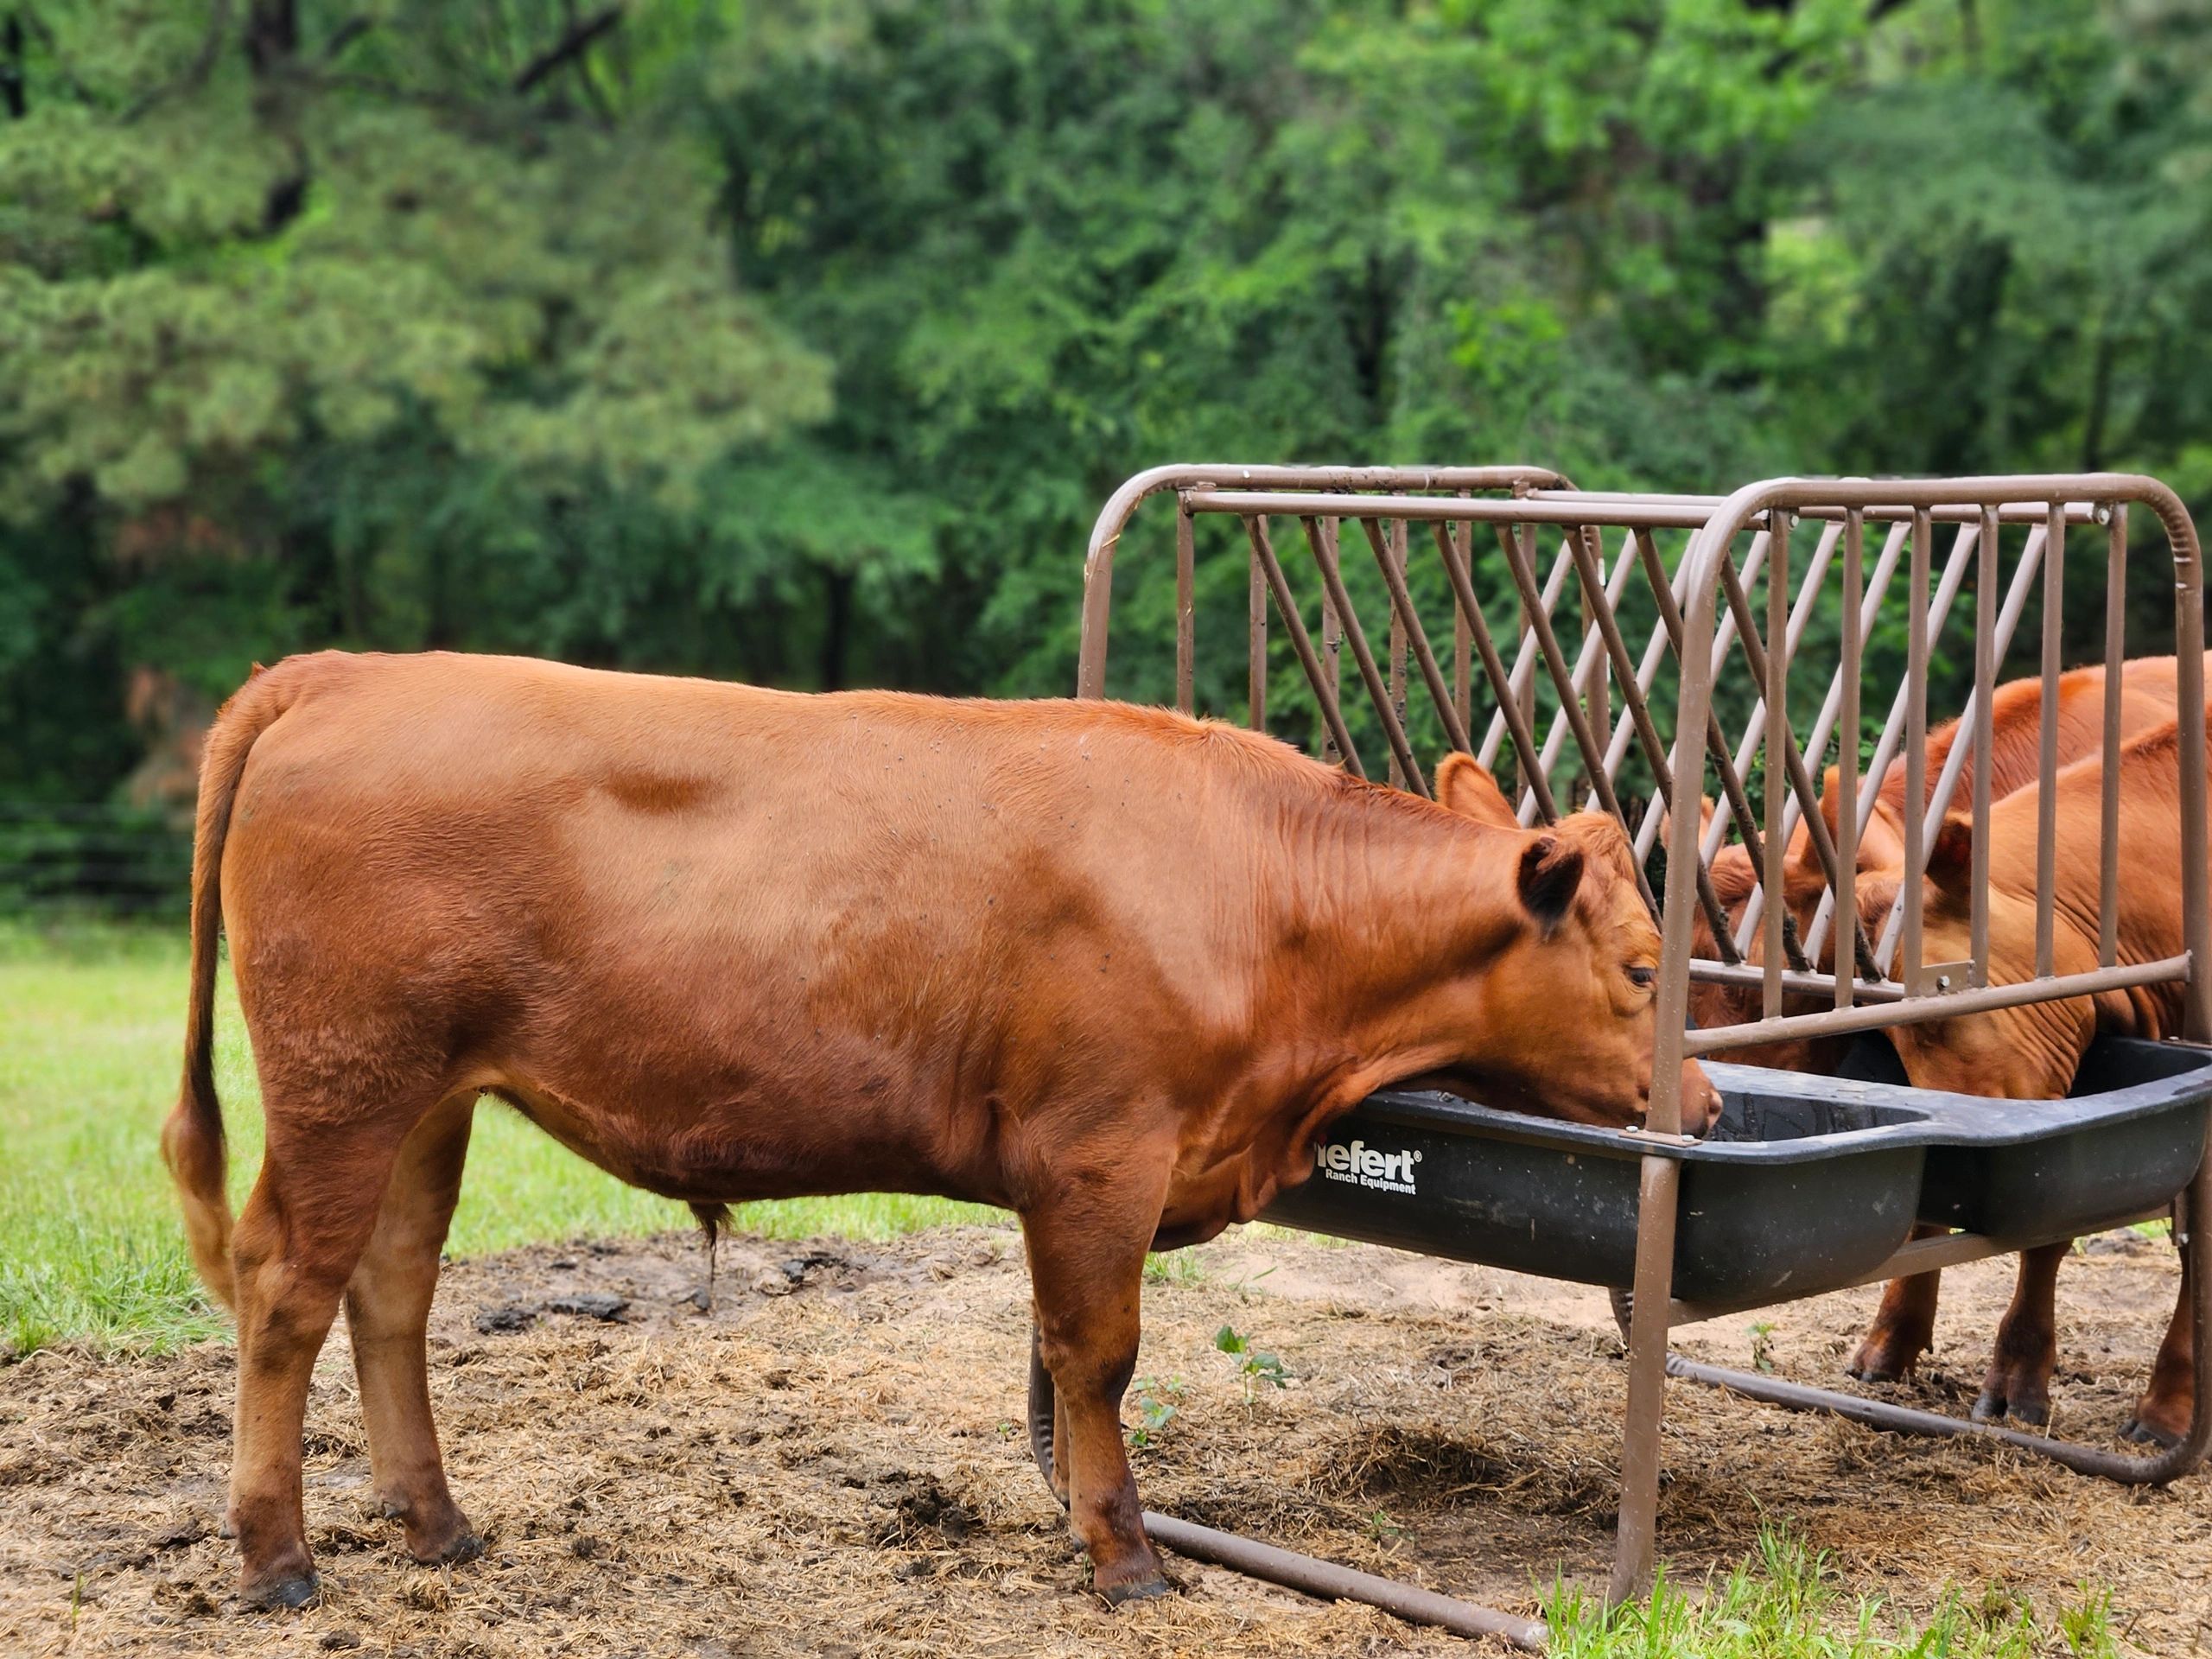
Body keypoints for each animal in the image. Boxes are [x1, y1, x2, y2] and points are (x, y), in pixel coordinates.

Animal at [162, 651, 1720, 1610]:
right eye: (1647, 968)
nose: (1705, 1107)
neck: (1259, 895)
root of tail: (358, 672)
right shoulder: (1099, 1153)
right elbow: (1097, 1358)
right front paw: (1123, 1554)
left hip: (427, 1099)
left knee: (391, 1290)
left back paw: (437, 1526)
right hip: (345, 1083)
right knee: (286, 1289)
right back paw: (277, 1559)